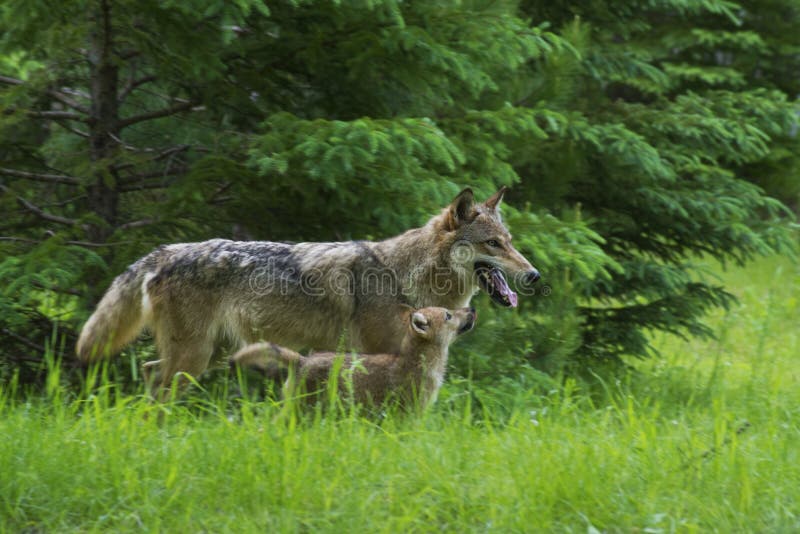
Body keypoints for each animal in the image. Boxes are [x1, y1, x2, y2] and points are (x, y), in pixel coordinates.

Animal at [76, 186, 538, 393]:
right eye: (493, 244)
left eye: (510, 241)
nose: (534, 275)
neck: (403, 276)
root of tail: (164, 251)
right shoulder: (381, 356)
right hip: (193, 358)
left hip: (206, 354)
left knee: (149, 372)